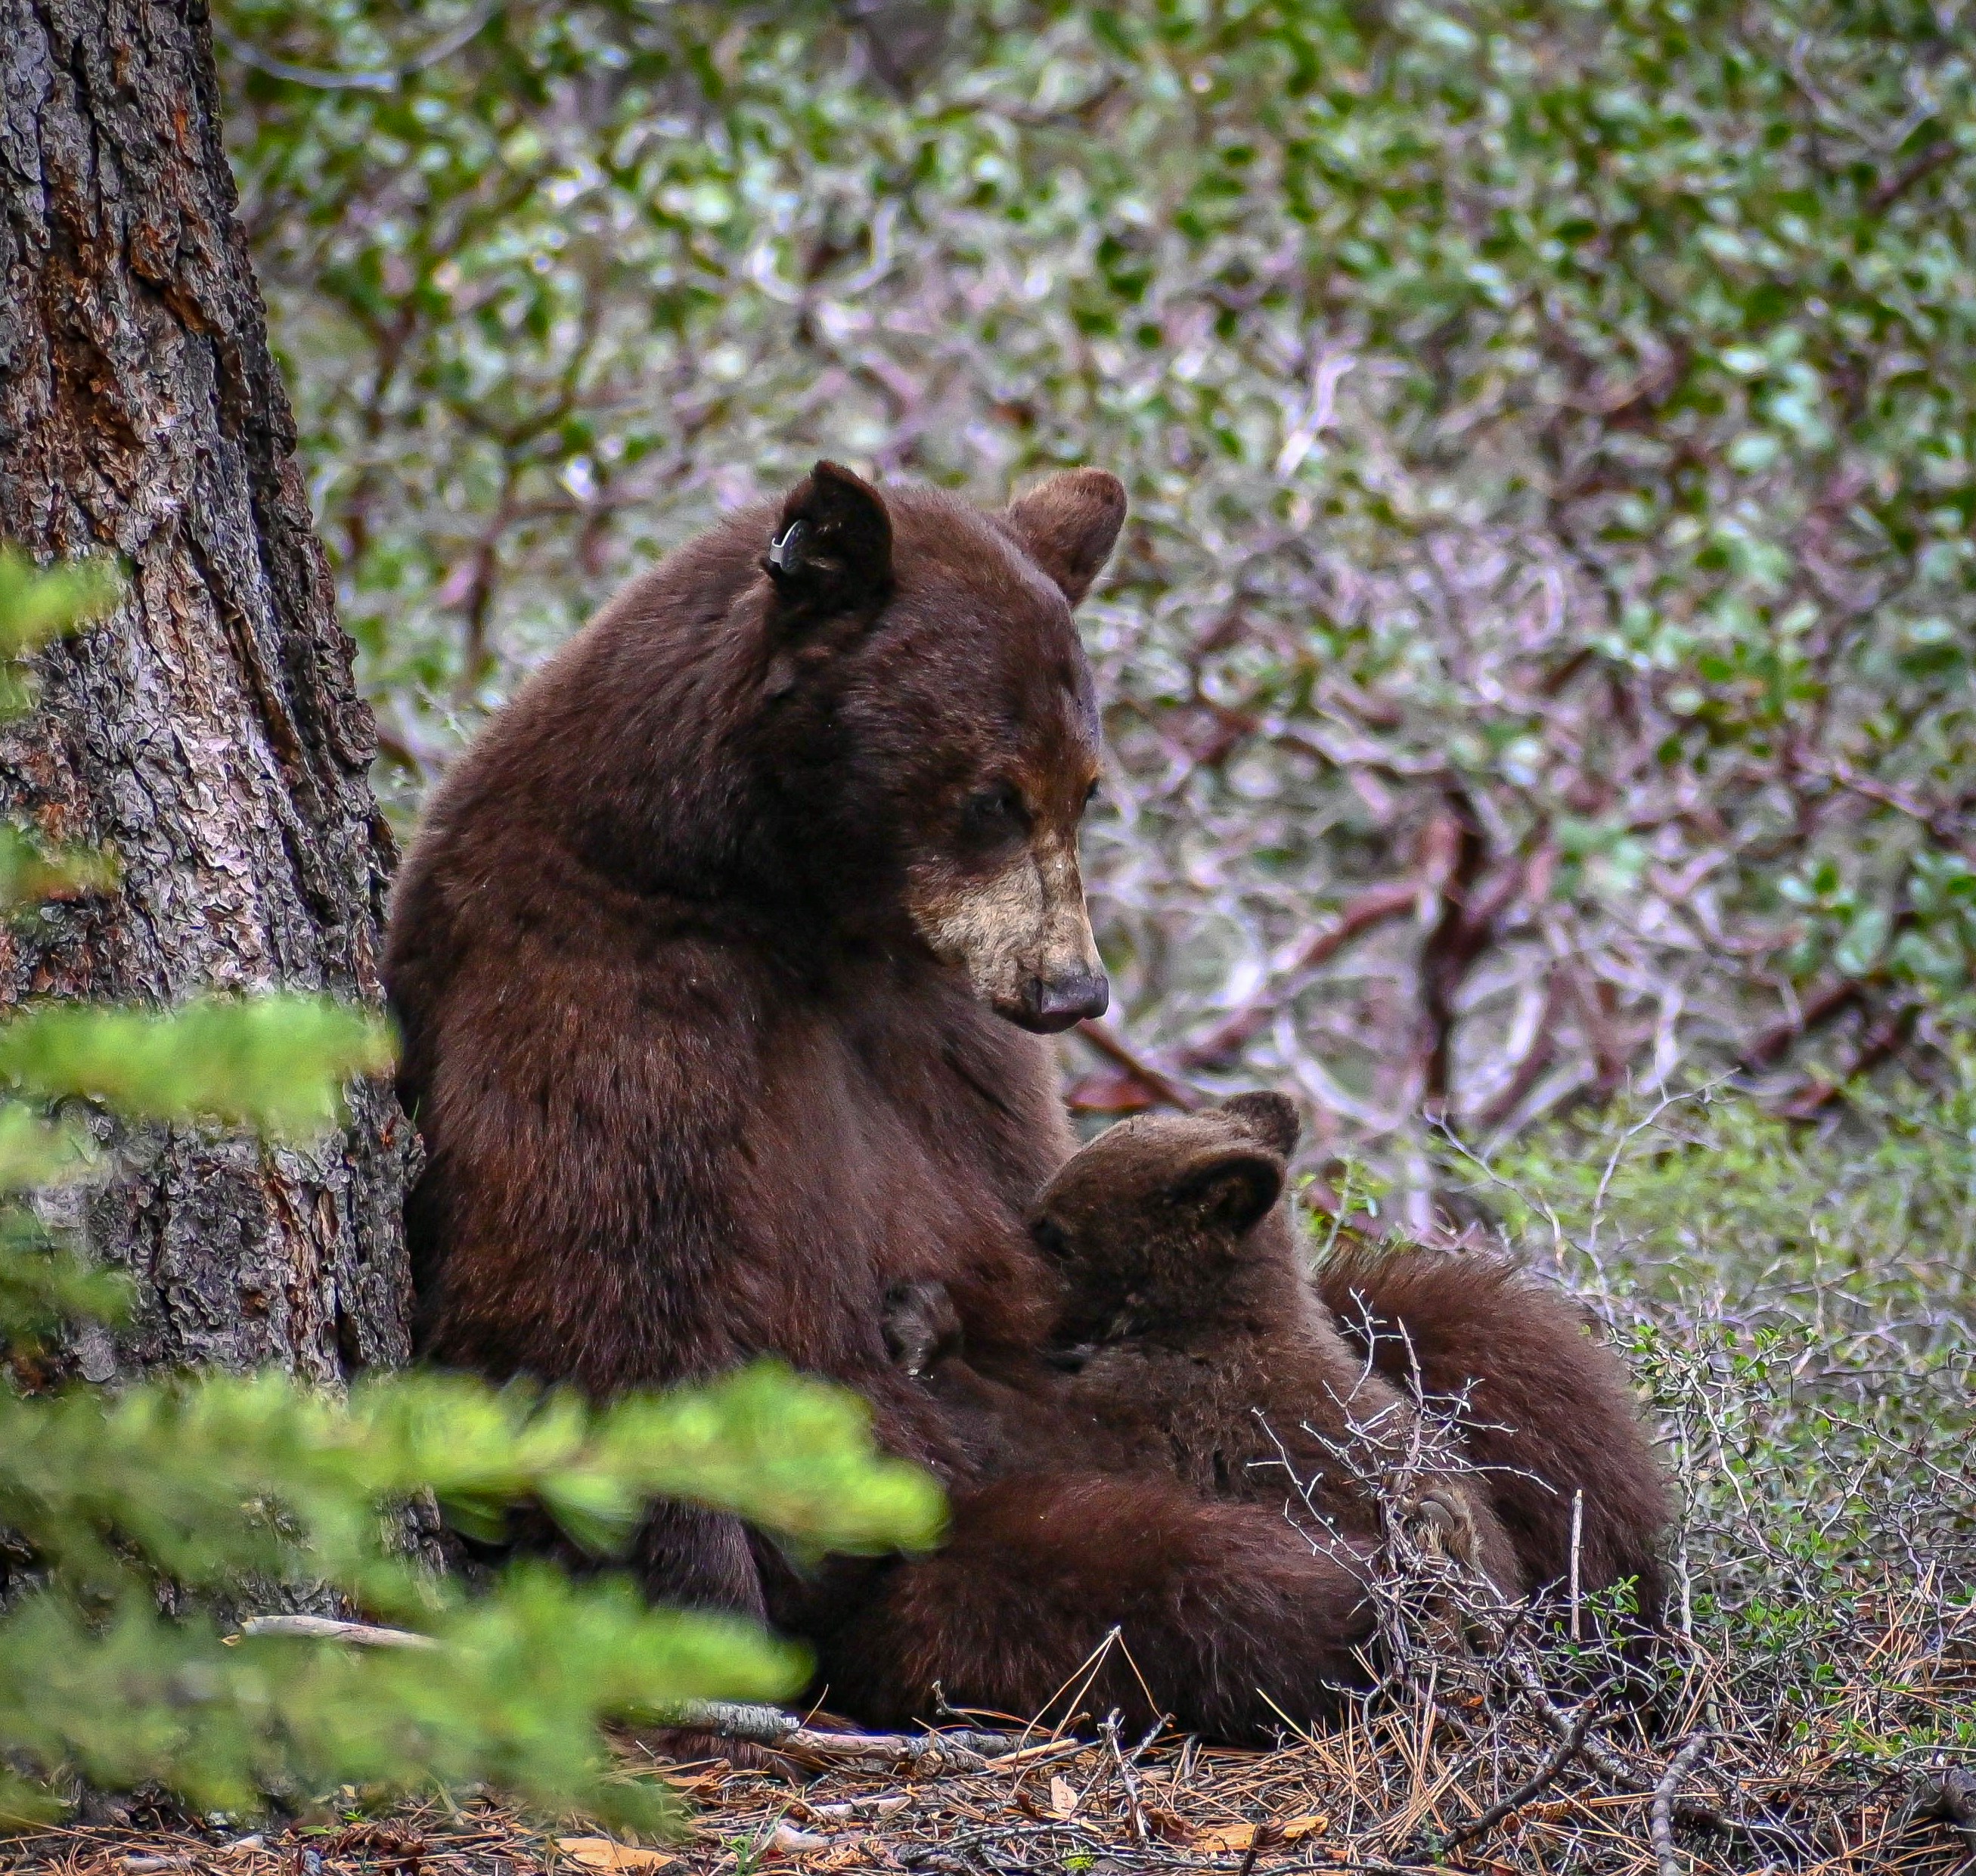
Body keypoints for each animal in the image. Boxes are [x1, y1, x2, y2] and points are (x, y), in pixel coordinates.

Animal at [384, 459, 1401, 1738]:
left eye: (1087, 788)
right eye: (992, 796)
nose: (1075, 988)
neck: (785, 903)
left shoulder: (949, 1041)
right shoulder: (611, 999)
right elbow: (596, 1321)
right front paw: (699, 1640)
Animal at [879, 1092, 1524, 1597]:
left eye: (1055, 1233)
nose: (1013, 1245)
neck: (1199, 1322)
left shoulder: (1183, 1406)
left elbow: (1060, 1444)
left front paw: (926, 1331)